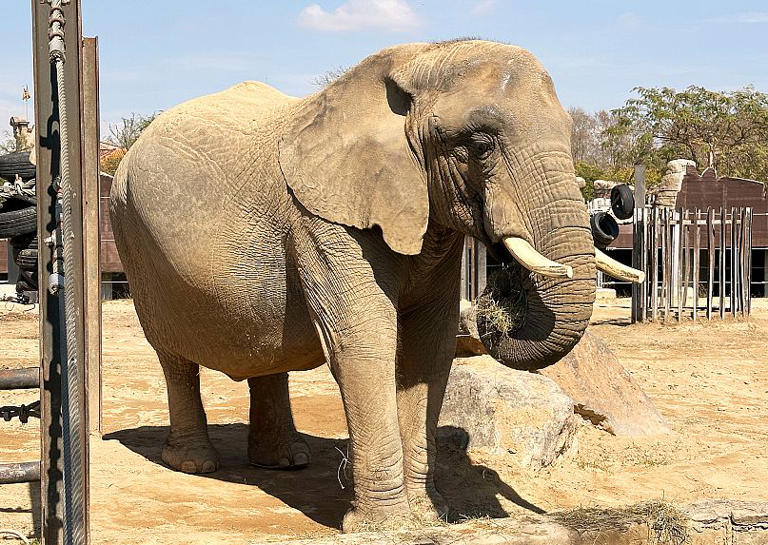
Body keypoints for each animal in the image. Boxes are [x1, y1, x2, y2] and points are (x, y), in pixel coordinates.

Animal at [110, 39, 640, 531]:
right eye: (480, 145)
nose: (502, 294)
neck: (418, 62)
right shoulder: (323, 218)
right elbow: (366, 342)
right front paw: (385, 526)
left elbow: (428, 348)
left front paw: (430, 515)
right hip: (134, 239)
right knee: (173, 357)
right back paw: (194, 463)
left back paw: (285, 461)